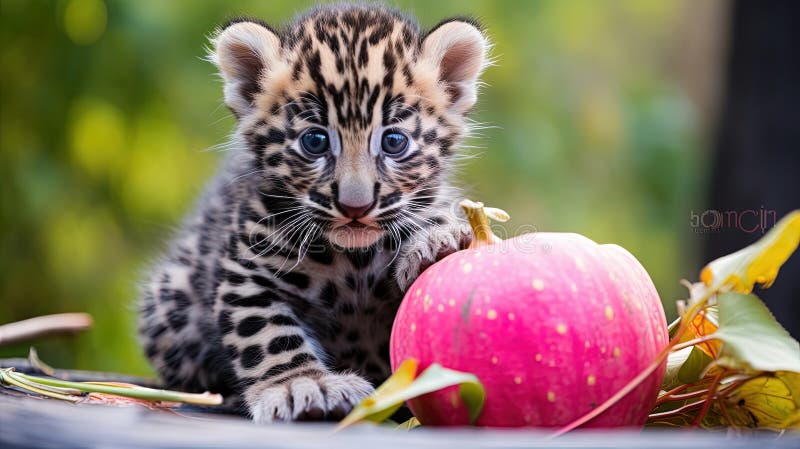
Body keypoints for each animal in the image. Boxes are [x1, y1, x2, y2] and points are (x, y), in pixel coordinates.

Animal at [138, 3, 490, 424]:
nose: (356, 206)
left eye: (394, 141)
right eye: (315, 141)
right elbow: (266, 334)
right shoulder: (247, 274)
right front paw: (301, 384)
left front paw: (437, 241)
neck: (354, 263)